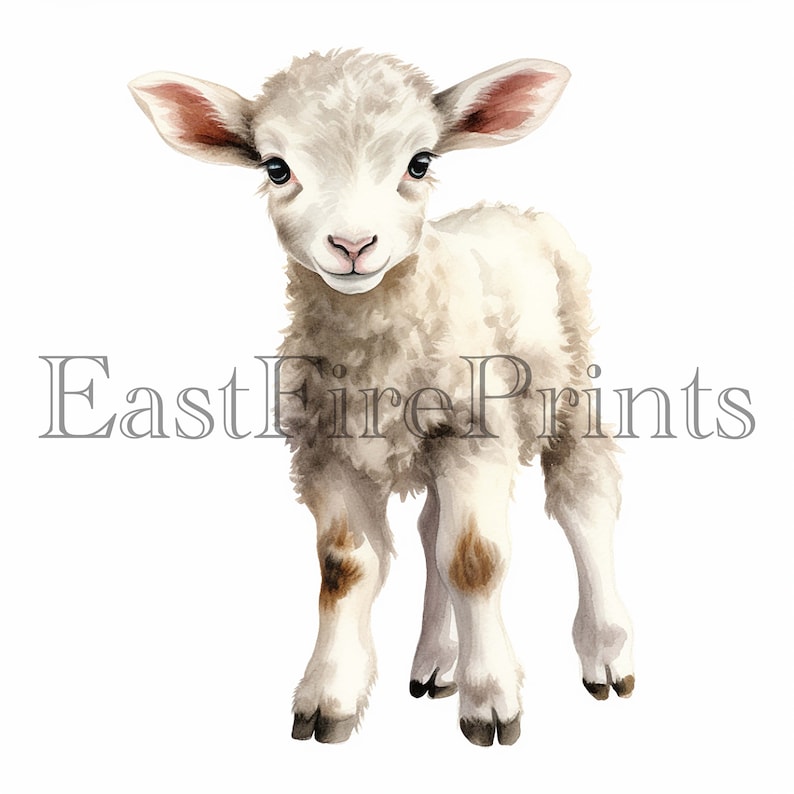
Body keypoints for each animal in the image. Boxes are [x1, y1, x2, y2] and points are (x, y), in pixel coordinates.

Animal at [128, 49, 634, 746]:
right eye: (276, 167)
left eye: (419, 162)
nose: (352, 245)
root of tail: (511, 208)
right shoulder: (326, 451)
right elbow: (345, 568)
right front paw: (328, 699)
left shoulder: (475, 429)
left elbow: (475, 559)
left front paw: (491, 701)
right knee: (430, 530)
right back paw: (435, 663)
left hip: (571, 383)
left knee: (586, 494)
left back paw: (605, 653)